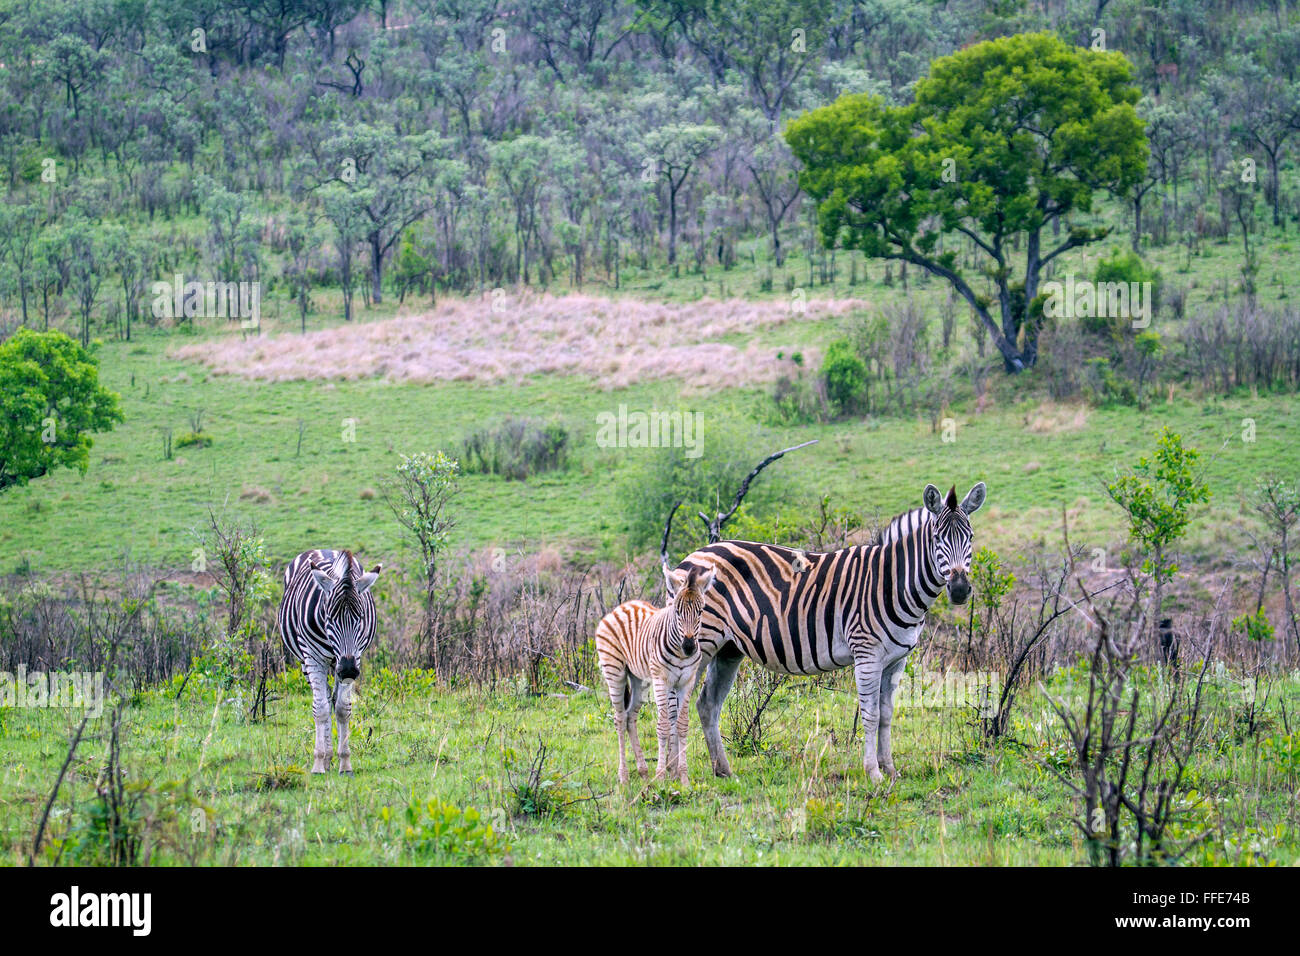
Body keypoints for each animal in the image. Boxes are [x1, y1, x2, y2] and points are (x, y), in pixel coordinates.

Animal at [276, 549, 381, 774]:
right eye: (330, 618)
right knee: (323, 699)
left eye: (361, 618)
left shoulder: (355, 656)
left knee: (332, 699)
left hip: (336, 665)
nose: (349, 670)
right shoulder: (314, 658)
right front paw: (318, 762)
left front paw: (345, 763)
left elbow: (342, 708)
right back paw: (325, 758)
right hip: (308, 663)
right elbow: (321, 709)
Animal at [594, 564, 716, 785]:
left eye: (701, 611)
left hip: (639, 679)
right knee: (619, 719)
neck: (680, 654)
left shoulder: (687, 681)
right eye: (677, 611)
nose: (689, 646)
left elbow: (682, 725)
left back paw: (643, 772)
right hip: (614, 671)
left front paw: (683, 778)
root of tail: (622, 606)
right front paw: (660, 776)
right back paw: (624, 777)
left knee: (629, 718)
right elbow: (664, 726)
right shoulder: (661, 681)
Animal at [677, 481, 986, 783]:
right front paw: (873, 773)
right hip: (699, 642)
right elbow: (871, 714)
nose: (960, 589)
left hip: (727, 649)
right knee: (677, 702)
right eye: (937, 539)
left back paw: (724, 771)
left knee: (707, 704)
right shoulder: (867, 653)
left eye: (970, 538)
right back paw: (675, 774)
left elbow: (886, 714)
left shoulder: (897, 659)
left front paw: (890, 769)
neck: (893, 582)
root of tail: (695, 554)